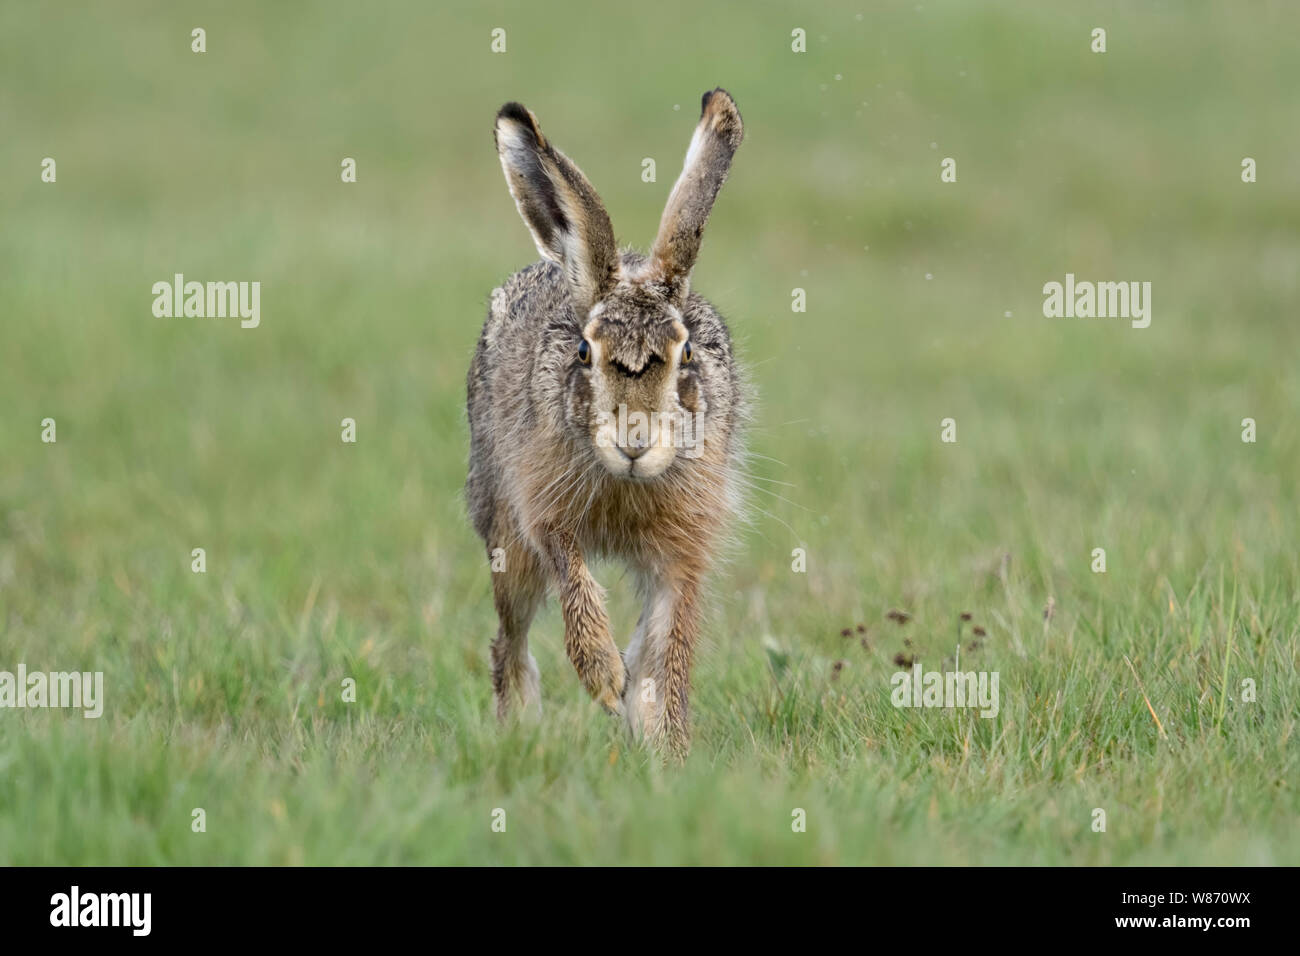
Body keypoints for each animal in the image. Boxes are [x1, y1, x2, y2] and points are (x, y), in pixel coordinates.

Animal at [466, 88, 747, 758]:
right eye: (583, 351)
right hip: (502, 534)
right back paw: (522, 729)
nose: (634, 443)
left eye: (687, 352)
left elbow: (669, 651)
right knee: (509, 639)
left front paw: (666, 746)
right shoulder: (540, 510)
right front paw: (603, 679)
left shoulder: (686, 548)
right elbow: (574, 580)